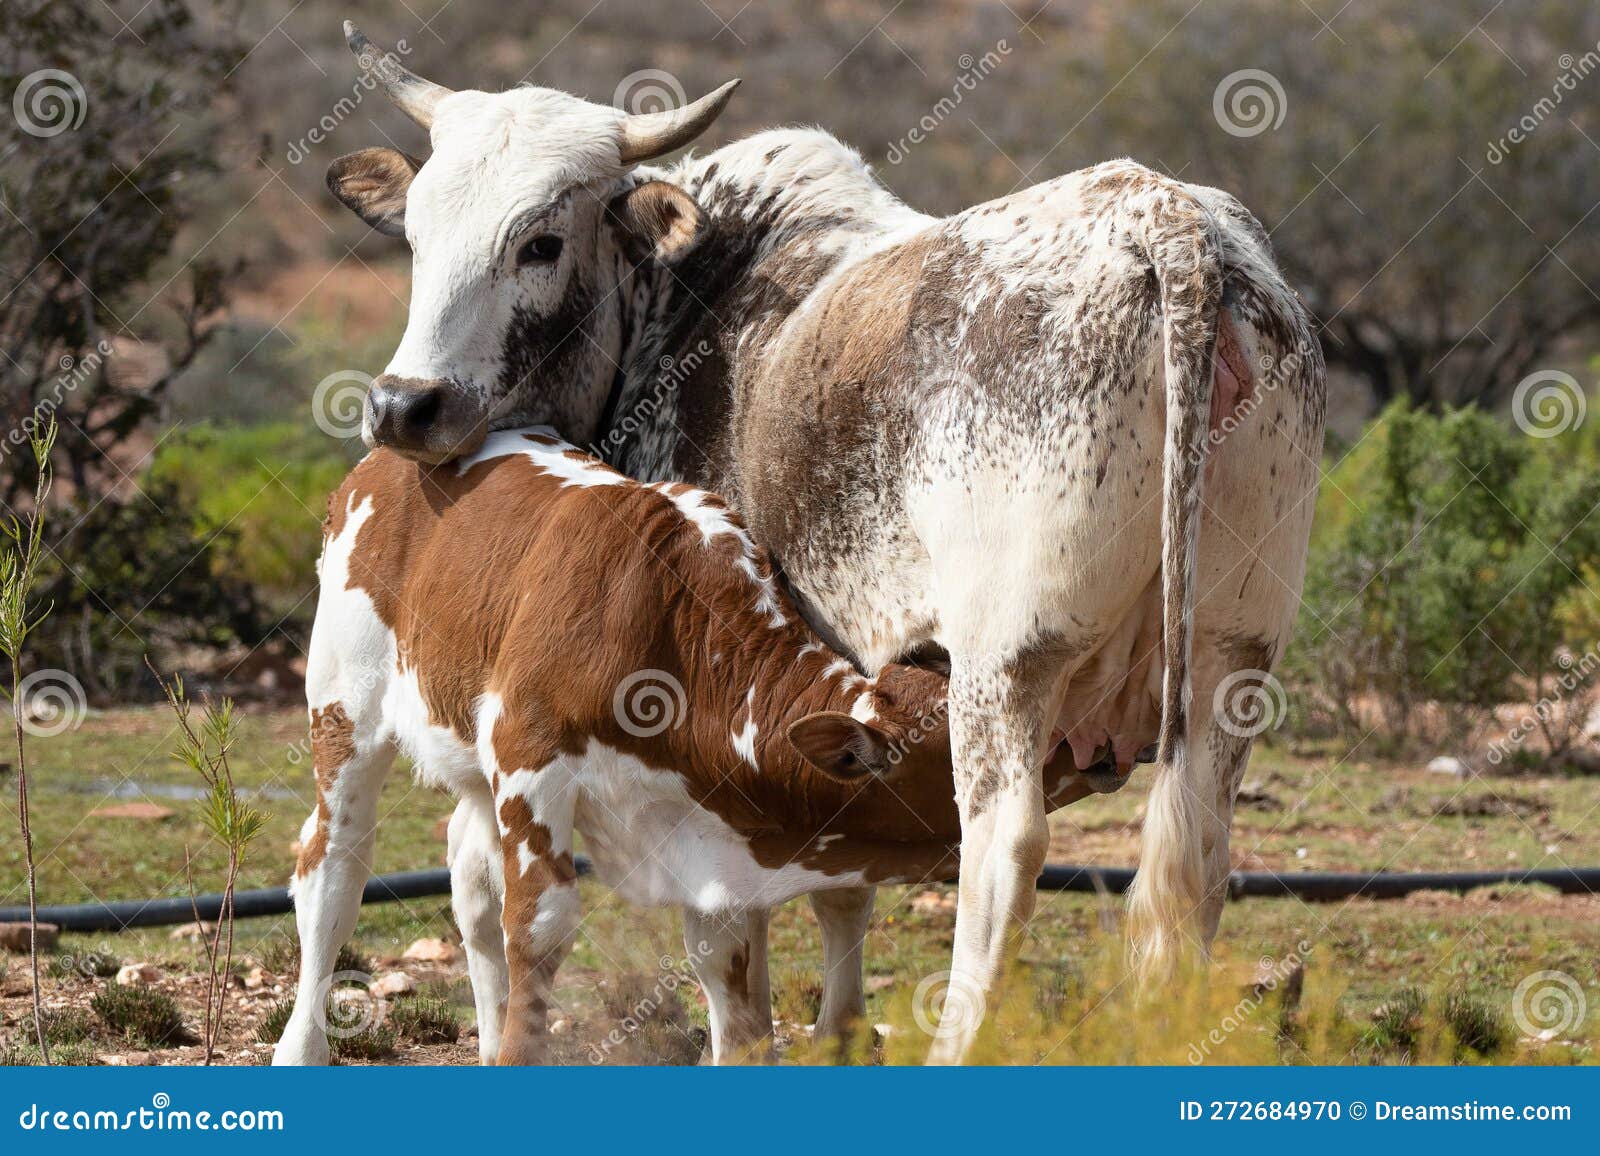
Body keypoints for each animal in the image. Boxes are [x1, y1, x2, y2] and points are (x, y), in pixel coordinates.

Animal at [271, 428, 1112, 1065]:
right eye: (967, 750)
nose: (1095, 750)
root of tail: (379, 465)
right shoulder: (530, 759)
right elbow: (539, 926)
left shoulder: (705, 832)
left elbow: (725, 968)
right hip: (344, 707)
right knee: (330, 871)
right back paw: (302, 1046)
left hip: (469, 760)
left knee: (469, 882)